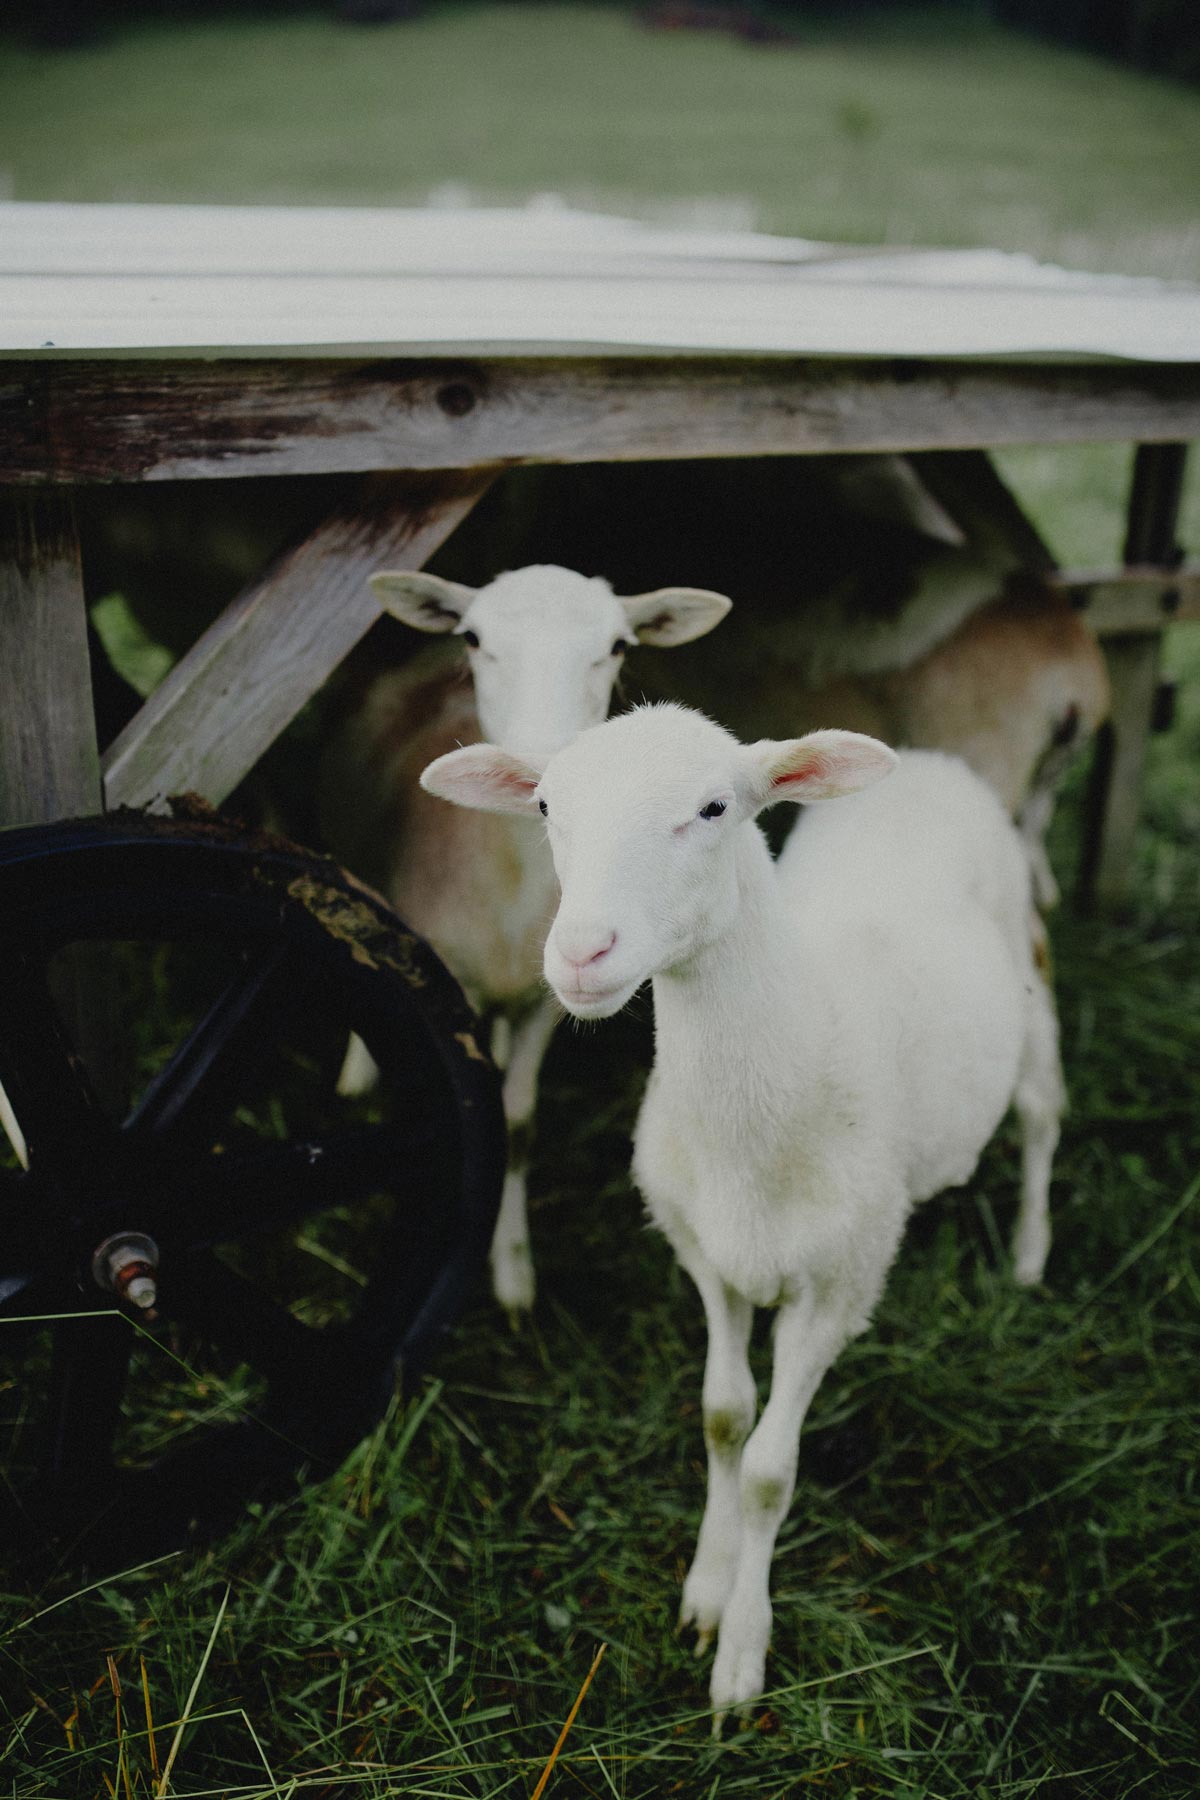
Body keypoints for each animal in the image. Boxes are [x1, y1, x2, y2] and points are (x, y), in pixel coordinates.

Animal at [317, 566, 731, 1318]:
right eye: (474, 638)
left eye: (617, 646)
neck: (512, 884)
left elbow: (512, 1124)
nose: (544, 756)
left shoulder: (547, 1003)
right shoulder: (440, 984)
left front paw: (512, 1274)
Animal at [421, 703, 1064, 1724]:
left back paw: (1032, 1253)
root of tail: (930, 764)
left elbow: (768, 1470)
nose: (580, 954)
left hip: (1029, 981)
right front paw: (706, 1590)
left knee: (1042, 1113)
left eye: (715, 807)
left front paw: (740, 1660)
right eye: (548, 806)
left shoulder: (836, 1291)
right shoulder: (706, 1258)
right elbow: (723, 1418)